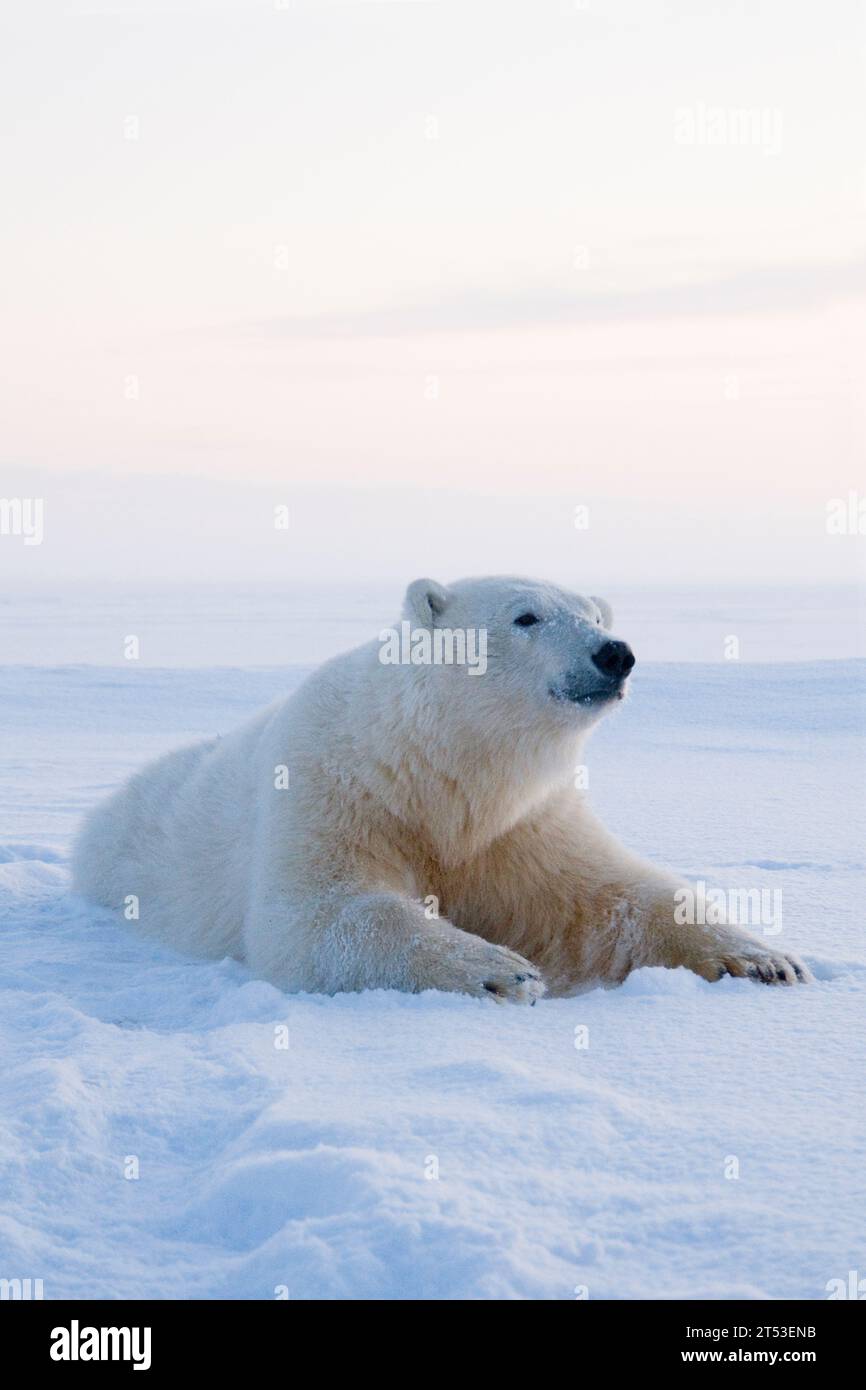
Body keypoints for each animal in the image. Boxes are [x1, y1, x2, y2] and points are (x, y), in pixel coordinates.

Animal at [72, 575, 810, 1002]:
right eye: (526, 616)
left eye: (594, 613)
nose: (615, 652)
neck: (437, 771)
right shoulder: (335, 786)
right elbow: (316, 915)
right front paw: (502, 969)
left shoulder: (524, 825)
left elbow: (610, 902)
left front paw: (767, 960)